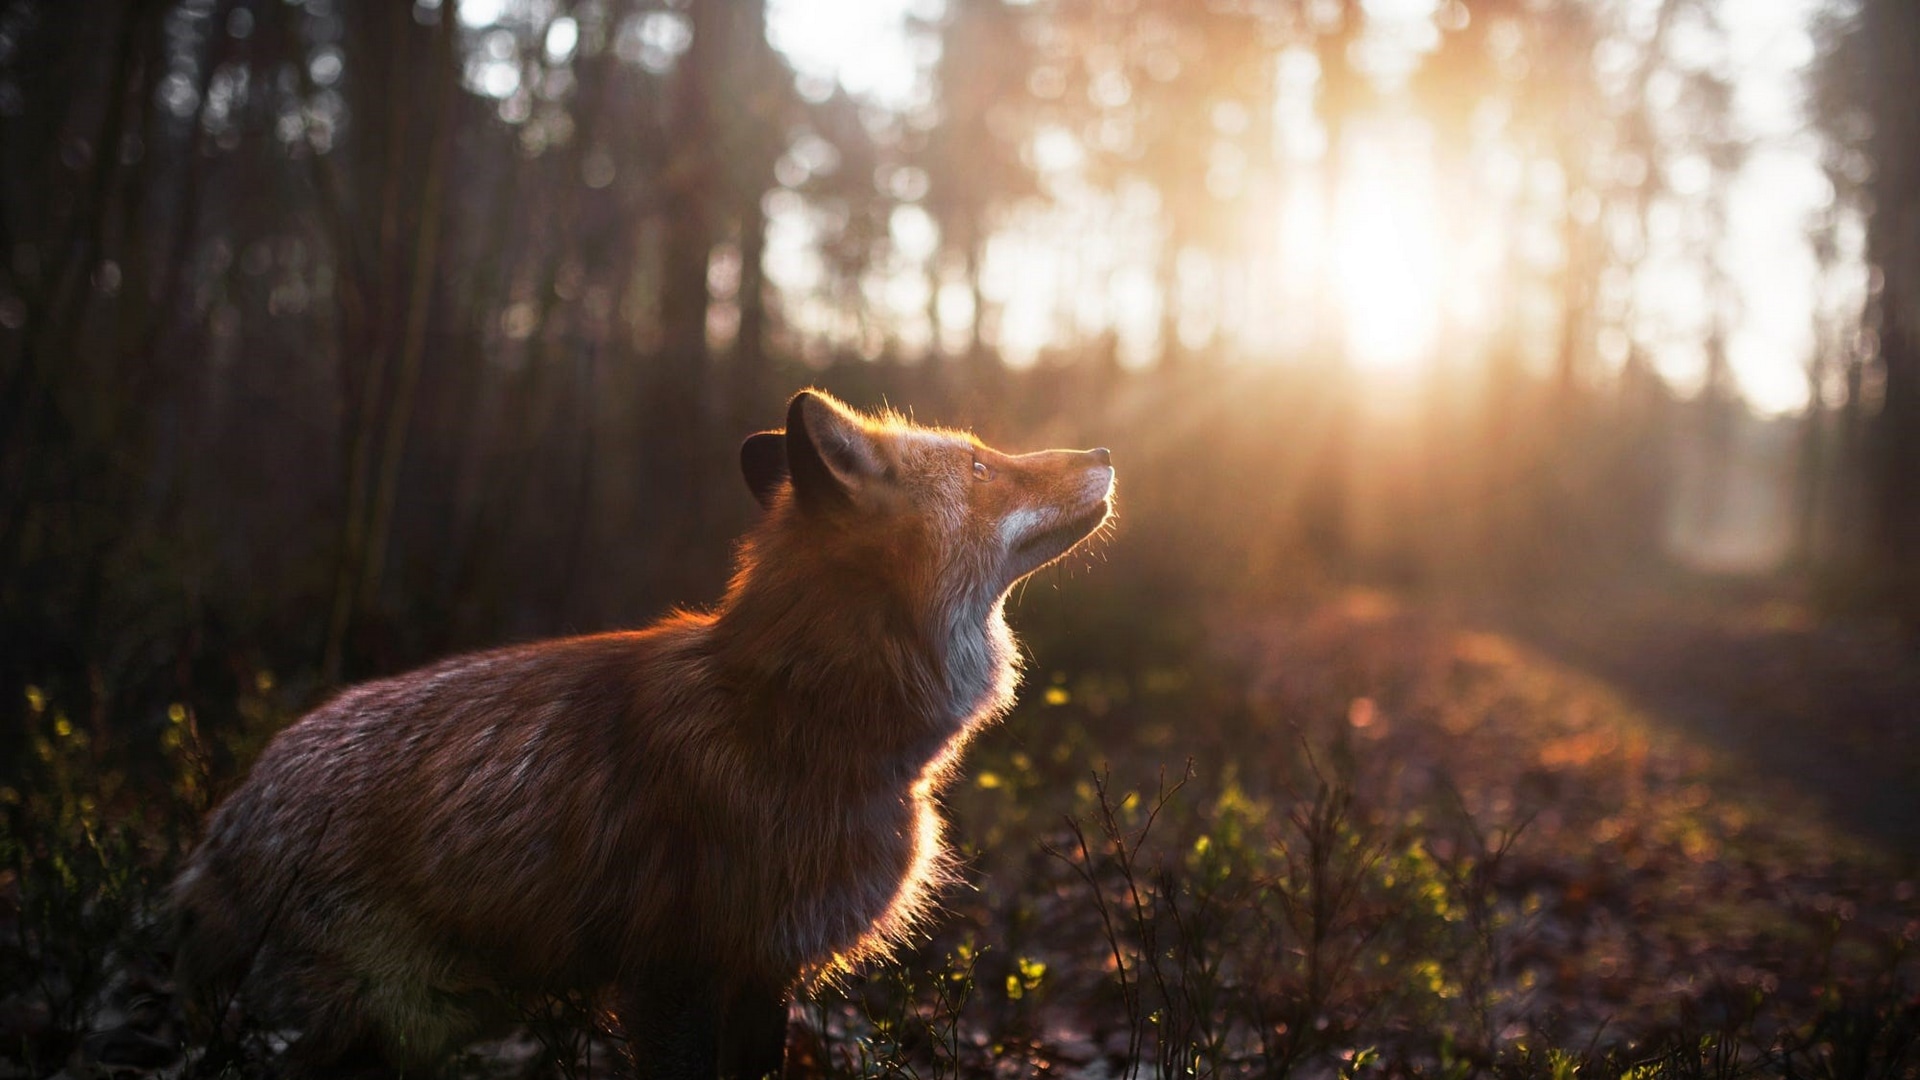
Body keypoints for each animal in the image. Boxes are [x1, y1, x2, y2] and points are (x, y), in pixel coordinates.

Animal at [170, 389, 1116, 1079]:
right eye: (984, 465)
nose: (1105, 453)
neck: (798, 718)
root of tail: (222, 817)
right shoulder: (675, 974)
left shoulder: (764, 967)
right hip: (392, 1019)